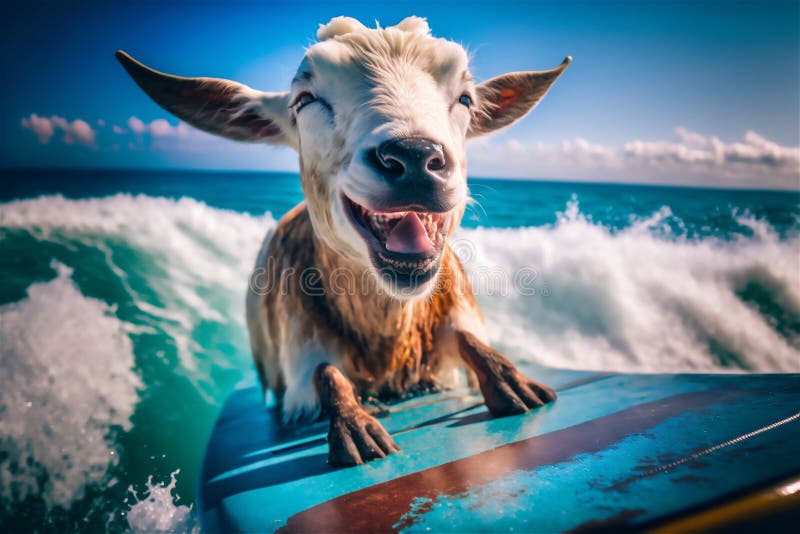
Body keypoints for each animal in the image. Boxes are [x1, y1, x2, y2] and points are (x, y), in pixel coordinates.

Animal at [117, 16, 570, 466]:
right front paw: (356, 429)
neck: (387, 336)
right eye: (304, 100)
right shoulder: (299, 352)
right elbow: (325, 373)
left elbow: (468, 338)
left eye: (465, 99)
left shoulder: (453, 310)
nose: (414, 157)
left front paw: (512, 381)